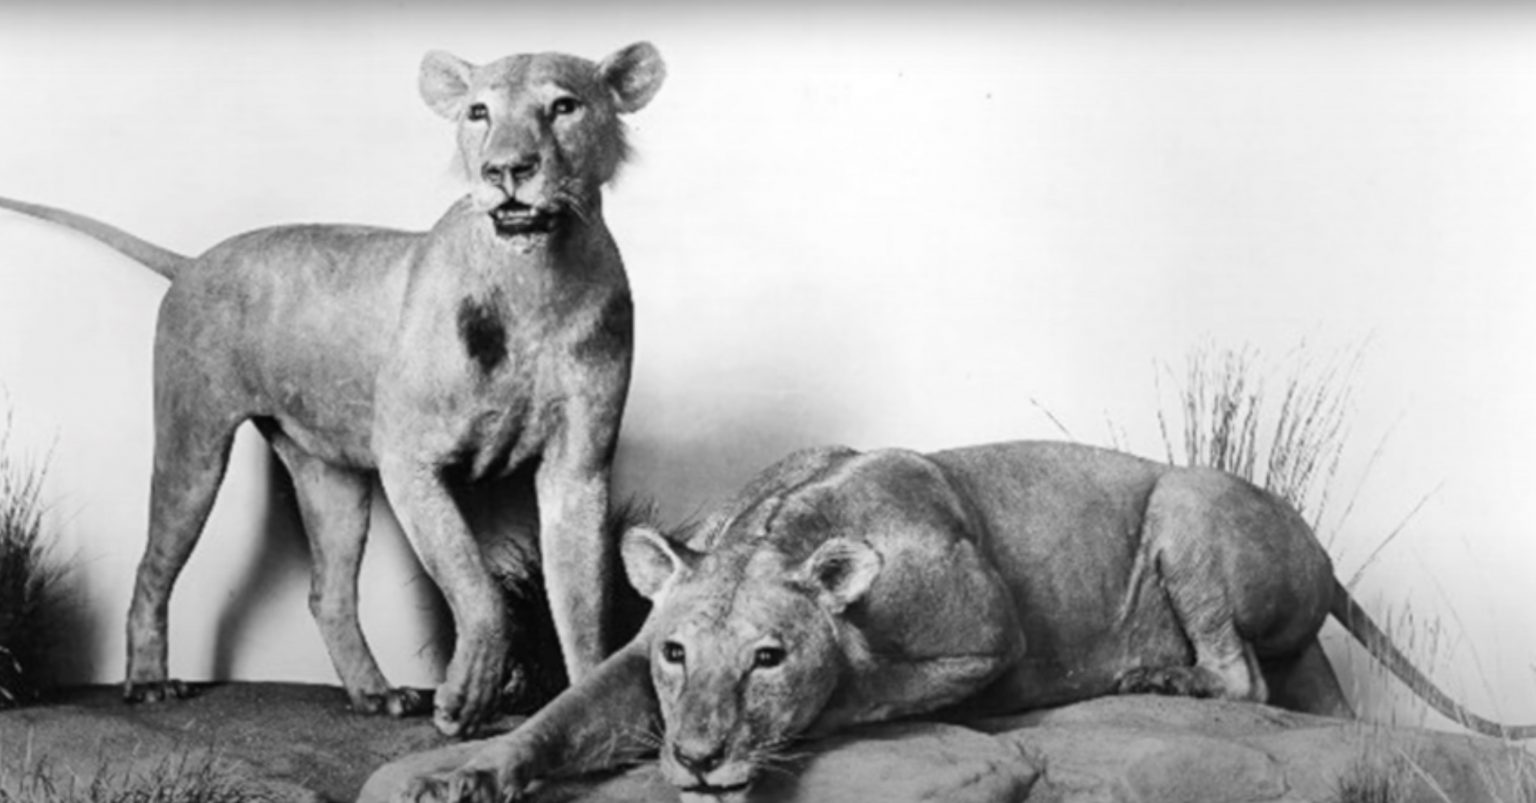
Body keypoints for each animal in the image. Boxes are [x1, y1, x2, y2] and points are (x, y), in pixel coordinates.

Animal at [0, 42, 665, 737]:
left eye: (564, 107)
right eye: (479, 112)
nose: (505, 168)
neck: (539, 282)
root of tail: (192, 263)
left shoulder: (578, 469)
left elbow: (584, 609)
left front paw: (588, 712)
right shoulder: (409, 461)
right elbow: (482, 591)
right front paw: (467, 697)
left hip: (330, 475)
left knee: (327, 593)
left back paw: (376, 693)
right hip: (193, 446)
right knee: (153, 567)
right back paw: (150, 682)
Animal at [392, 440, 1536, 802]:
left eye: (769, 657)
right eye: (678, 651)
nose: (704, 757)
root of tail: (1326, 555)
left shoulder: (992, 636)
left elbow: (864, 687)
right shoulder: (636, 661)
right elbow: (569, 710)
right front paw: (475, 768)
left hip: (1185, 501)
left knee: (1239, 675)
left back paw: (1156, 673)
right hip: (1303, 653)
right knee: (1310, 696)